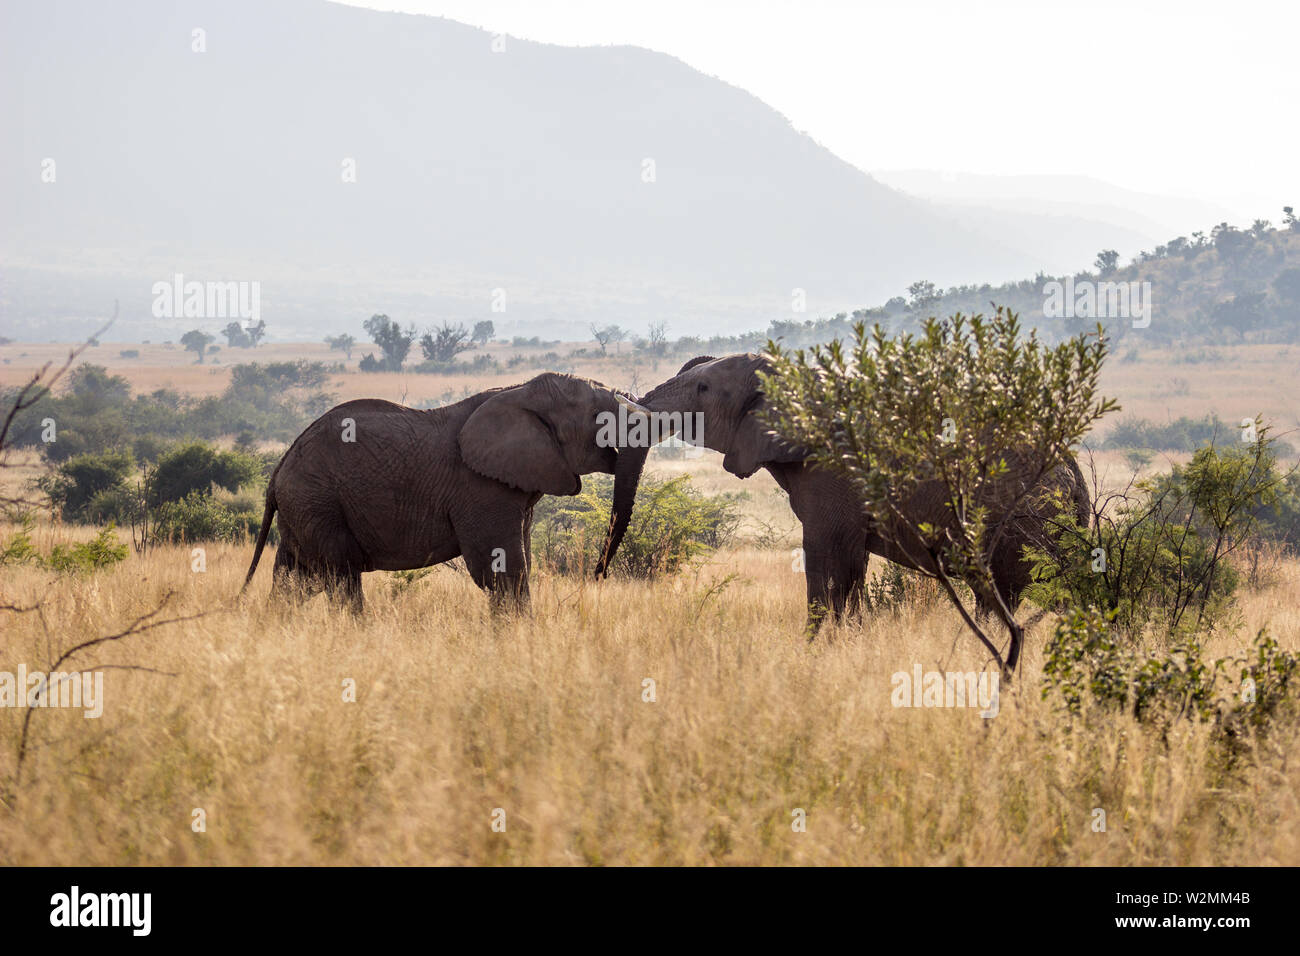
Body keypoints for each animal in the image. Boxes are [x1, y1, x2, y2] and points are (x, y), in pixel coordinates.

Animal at [242, 372, 649, 611]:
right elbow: (501, 571)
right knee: (339, 577)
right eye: (599, 415)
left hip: (305, 508)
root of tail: (278, 470)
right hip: (318, 502)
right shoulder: (480, 487)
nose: (597, 574)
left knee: (296, 580)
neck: (520, 391)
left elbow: (519, 567)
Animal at [597, 354, 1090, 644]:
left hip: (1026, 517)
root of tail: (1074, 472)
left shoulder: (836, 471)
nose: (599, 576)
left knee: (1004, 586)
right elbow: (852, 562)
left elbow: (825, 553)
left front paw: (815, 647)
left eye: (702, 389)